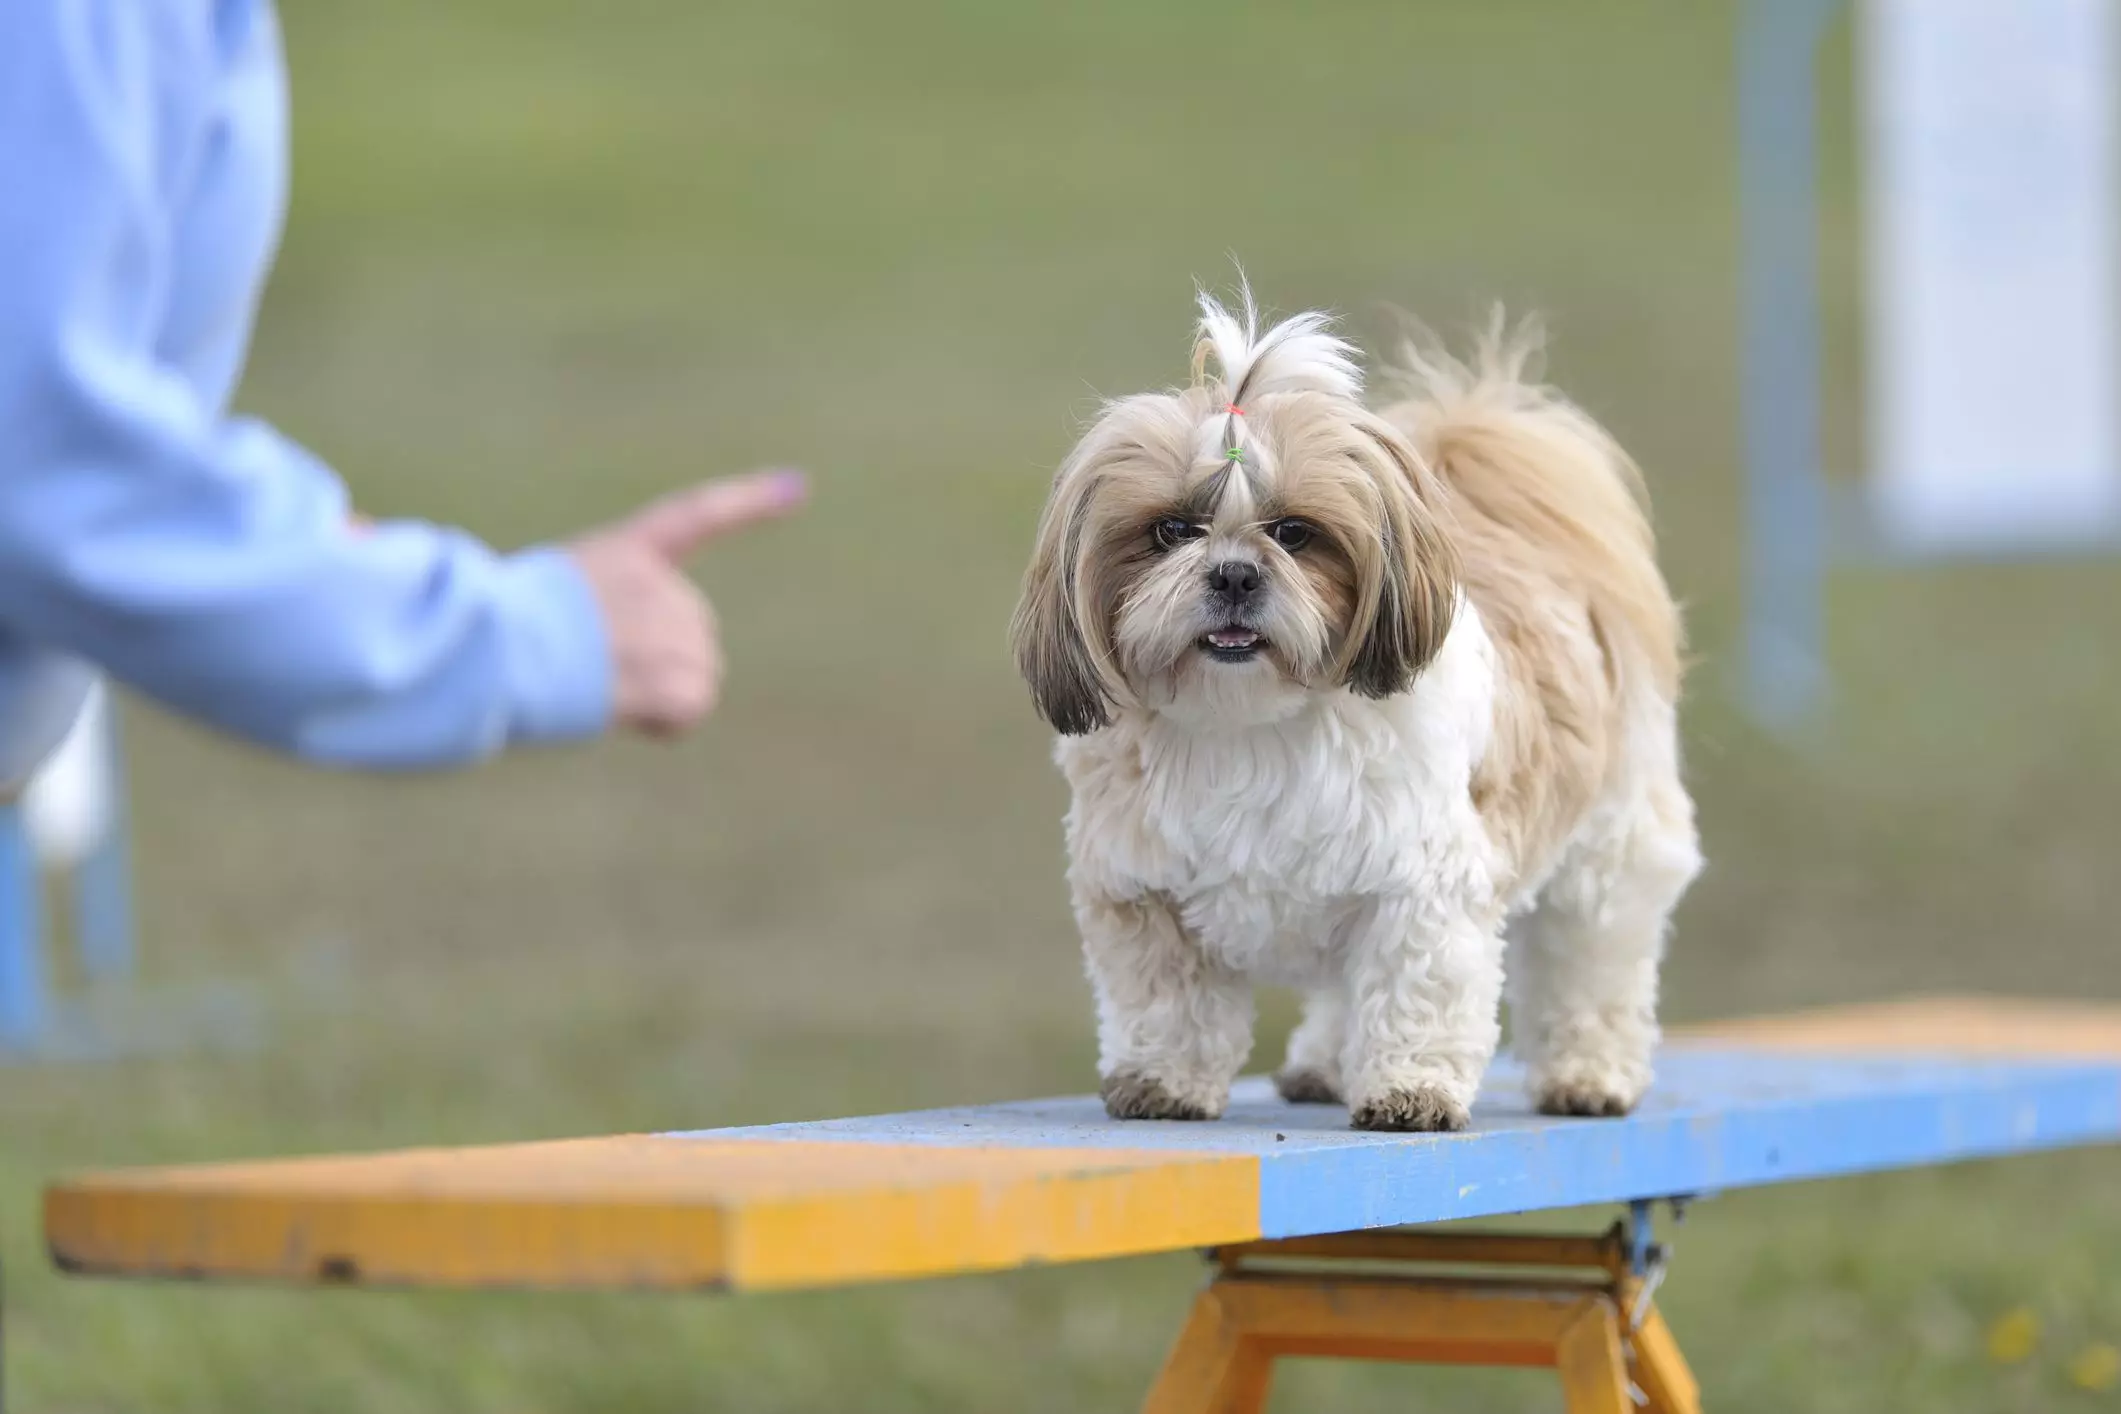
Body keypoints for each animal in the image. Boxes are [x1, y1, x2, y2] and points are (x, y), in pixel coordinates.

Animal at [1013, 288, 1705, 1136]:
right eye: (1171, 530)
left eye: (1294, 533)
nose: (1234, 573)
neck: (1249, 724)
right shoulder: (1141, 889)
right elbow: (1169, 1001)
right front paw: (1161, 1081)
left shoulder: (1420, 883)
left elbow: (1417, 988)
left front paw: (1411, 1090)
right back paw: (1322, 1065)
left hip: (1610, 846)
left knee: (1592, 961)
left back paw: (1588, 1073)